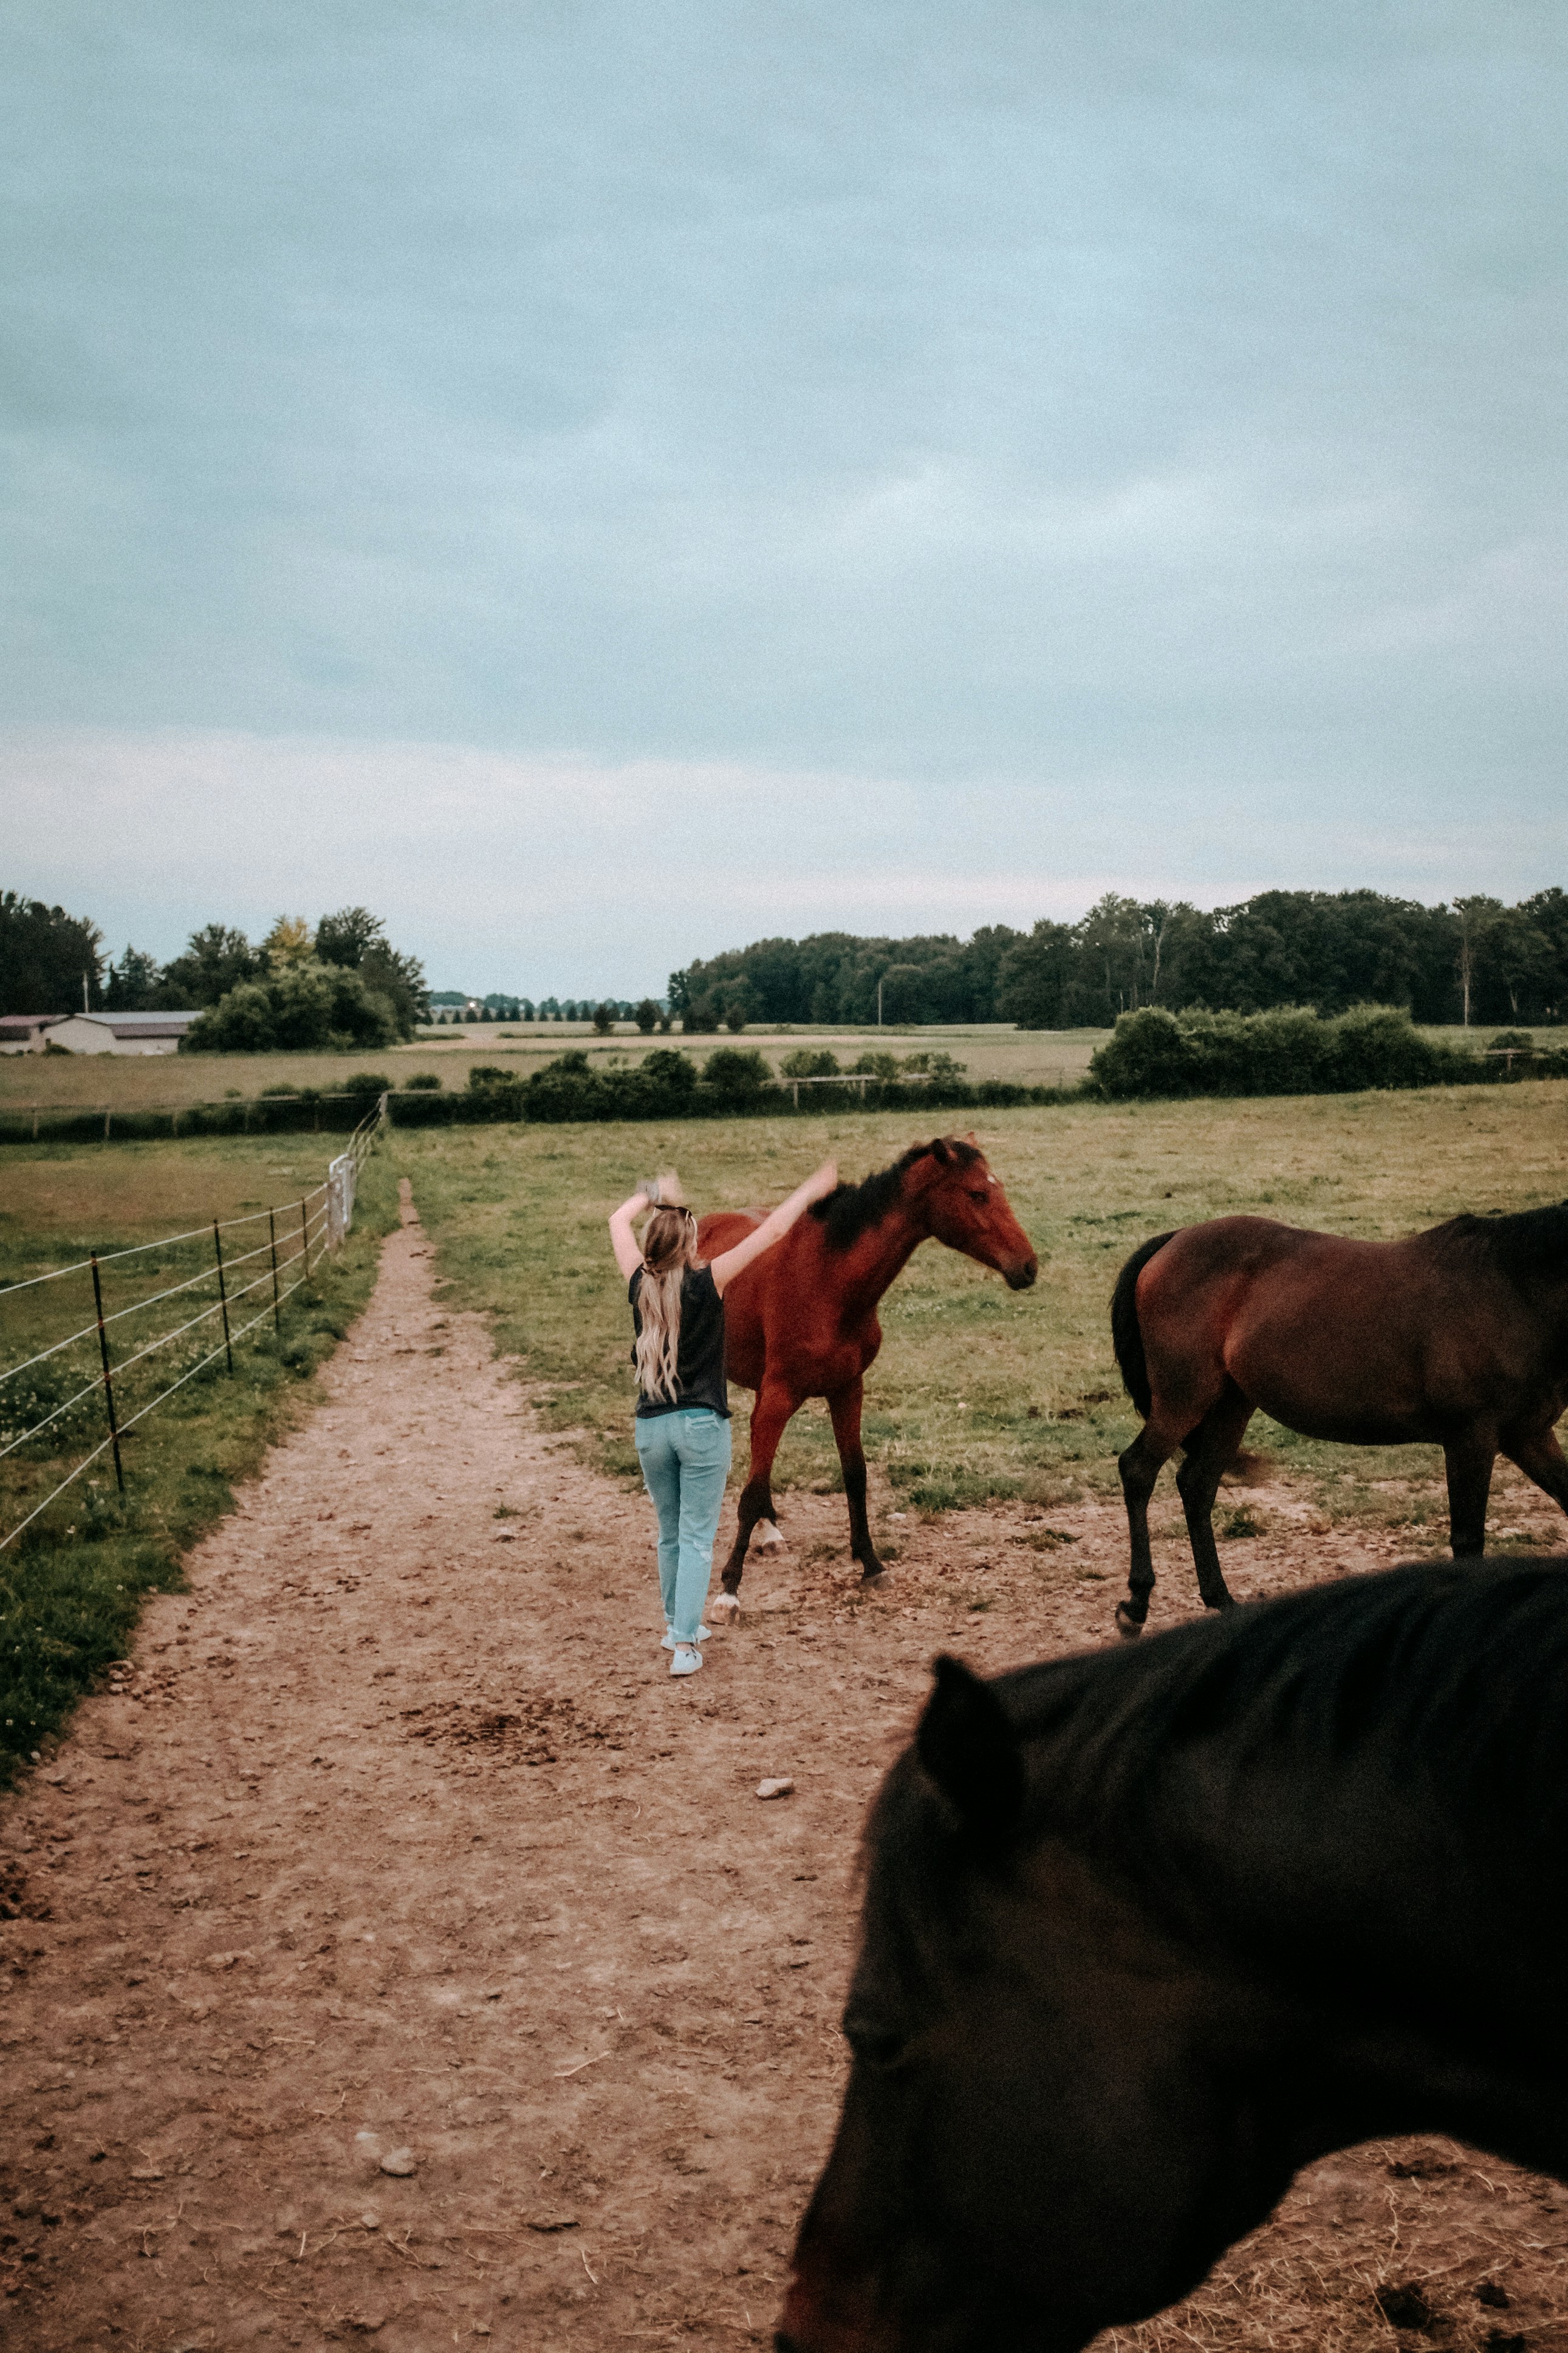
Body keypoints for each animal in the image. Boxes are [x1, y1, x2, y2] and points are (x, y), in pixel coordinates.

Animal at [698, 1137, 1037, 1602]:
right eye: (977, 1195)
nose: (1028, 1266)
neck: (828, 1279)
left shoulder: (847, 1389)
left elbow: (853, 1475)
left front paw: (871, 1563)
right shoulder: (781, 1396)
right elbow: (751, 1492)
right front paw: (729, 1590)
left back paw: (770, 1534)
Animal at [1109, 1200, 1568, 1638]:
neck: (1514, 1292)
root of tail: (1174, 1241)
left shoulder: (1529, 1436)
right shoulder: (1470, 1438)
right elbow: (1468, 1541)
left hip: (1230, 1405)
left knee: (1197, 1485)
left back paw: (1221, 1600)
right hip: (1184, 1398)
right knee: (1139, 1470)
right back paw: (1136, 1605)